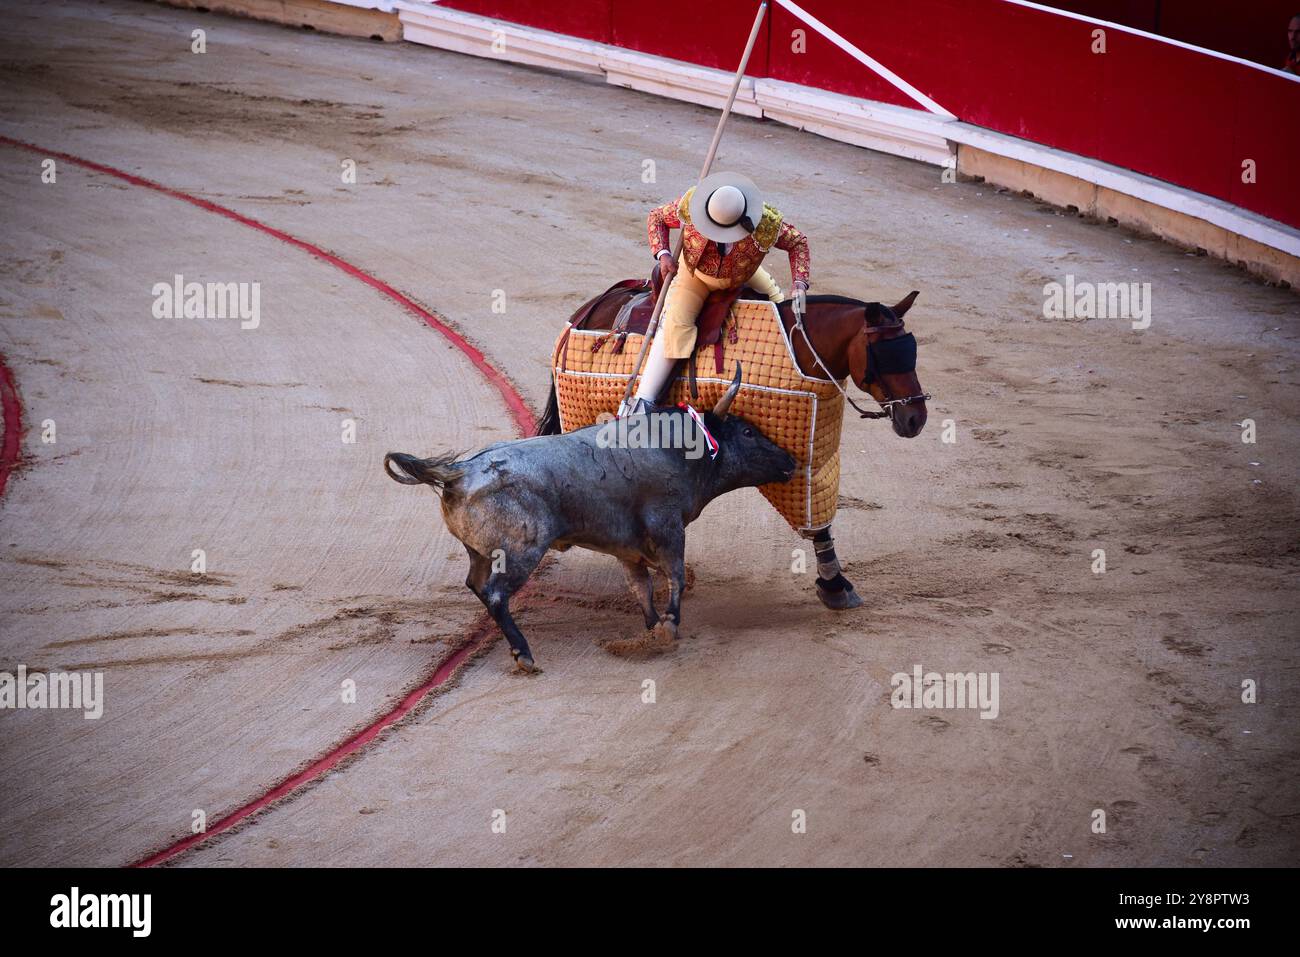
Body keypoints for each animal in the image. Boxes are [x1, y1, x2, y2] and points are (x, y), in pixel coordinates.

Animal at [384, 364, 795, 672]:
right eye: (747, 431)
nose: (790, 461)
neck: (677, 448)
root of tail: (460, 470)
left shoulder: (627, 547)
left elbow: (641, 588)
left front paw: (651, 631)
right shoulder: (667, 527)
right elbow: (675, 576)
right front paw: (669, 628)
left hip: (480, 553)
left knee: (476, 584)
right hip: (521, 552)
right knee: (497, 594)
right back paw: (524, 654)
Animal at [534, 282, 928, 609]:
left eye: (912, 352)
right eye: (884, 355)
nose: (916, 418)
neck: (801, 351)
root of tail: (581, 315)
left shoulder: (810, 456)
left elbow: (820, 521)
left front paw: (836, 585)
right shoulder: (794, 458)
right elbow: (818, 523)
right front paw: (835, 587)